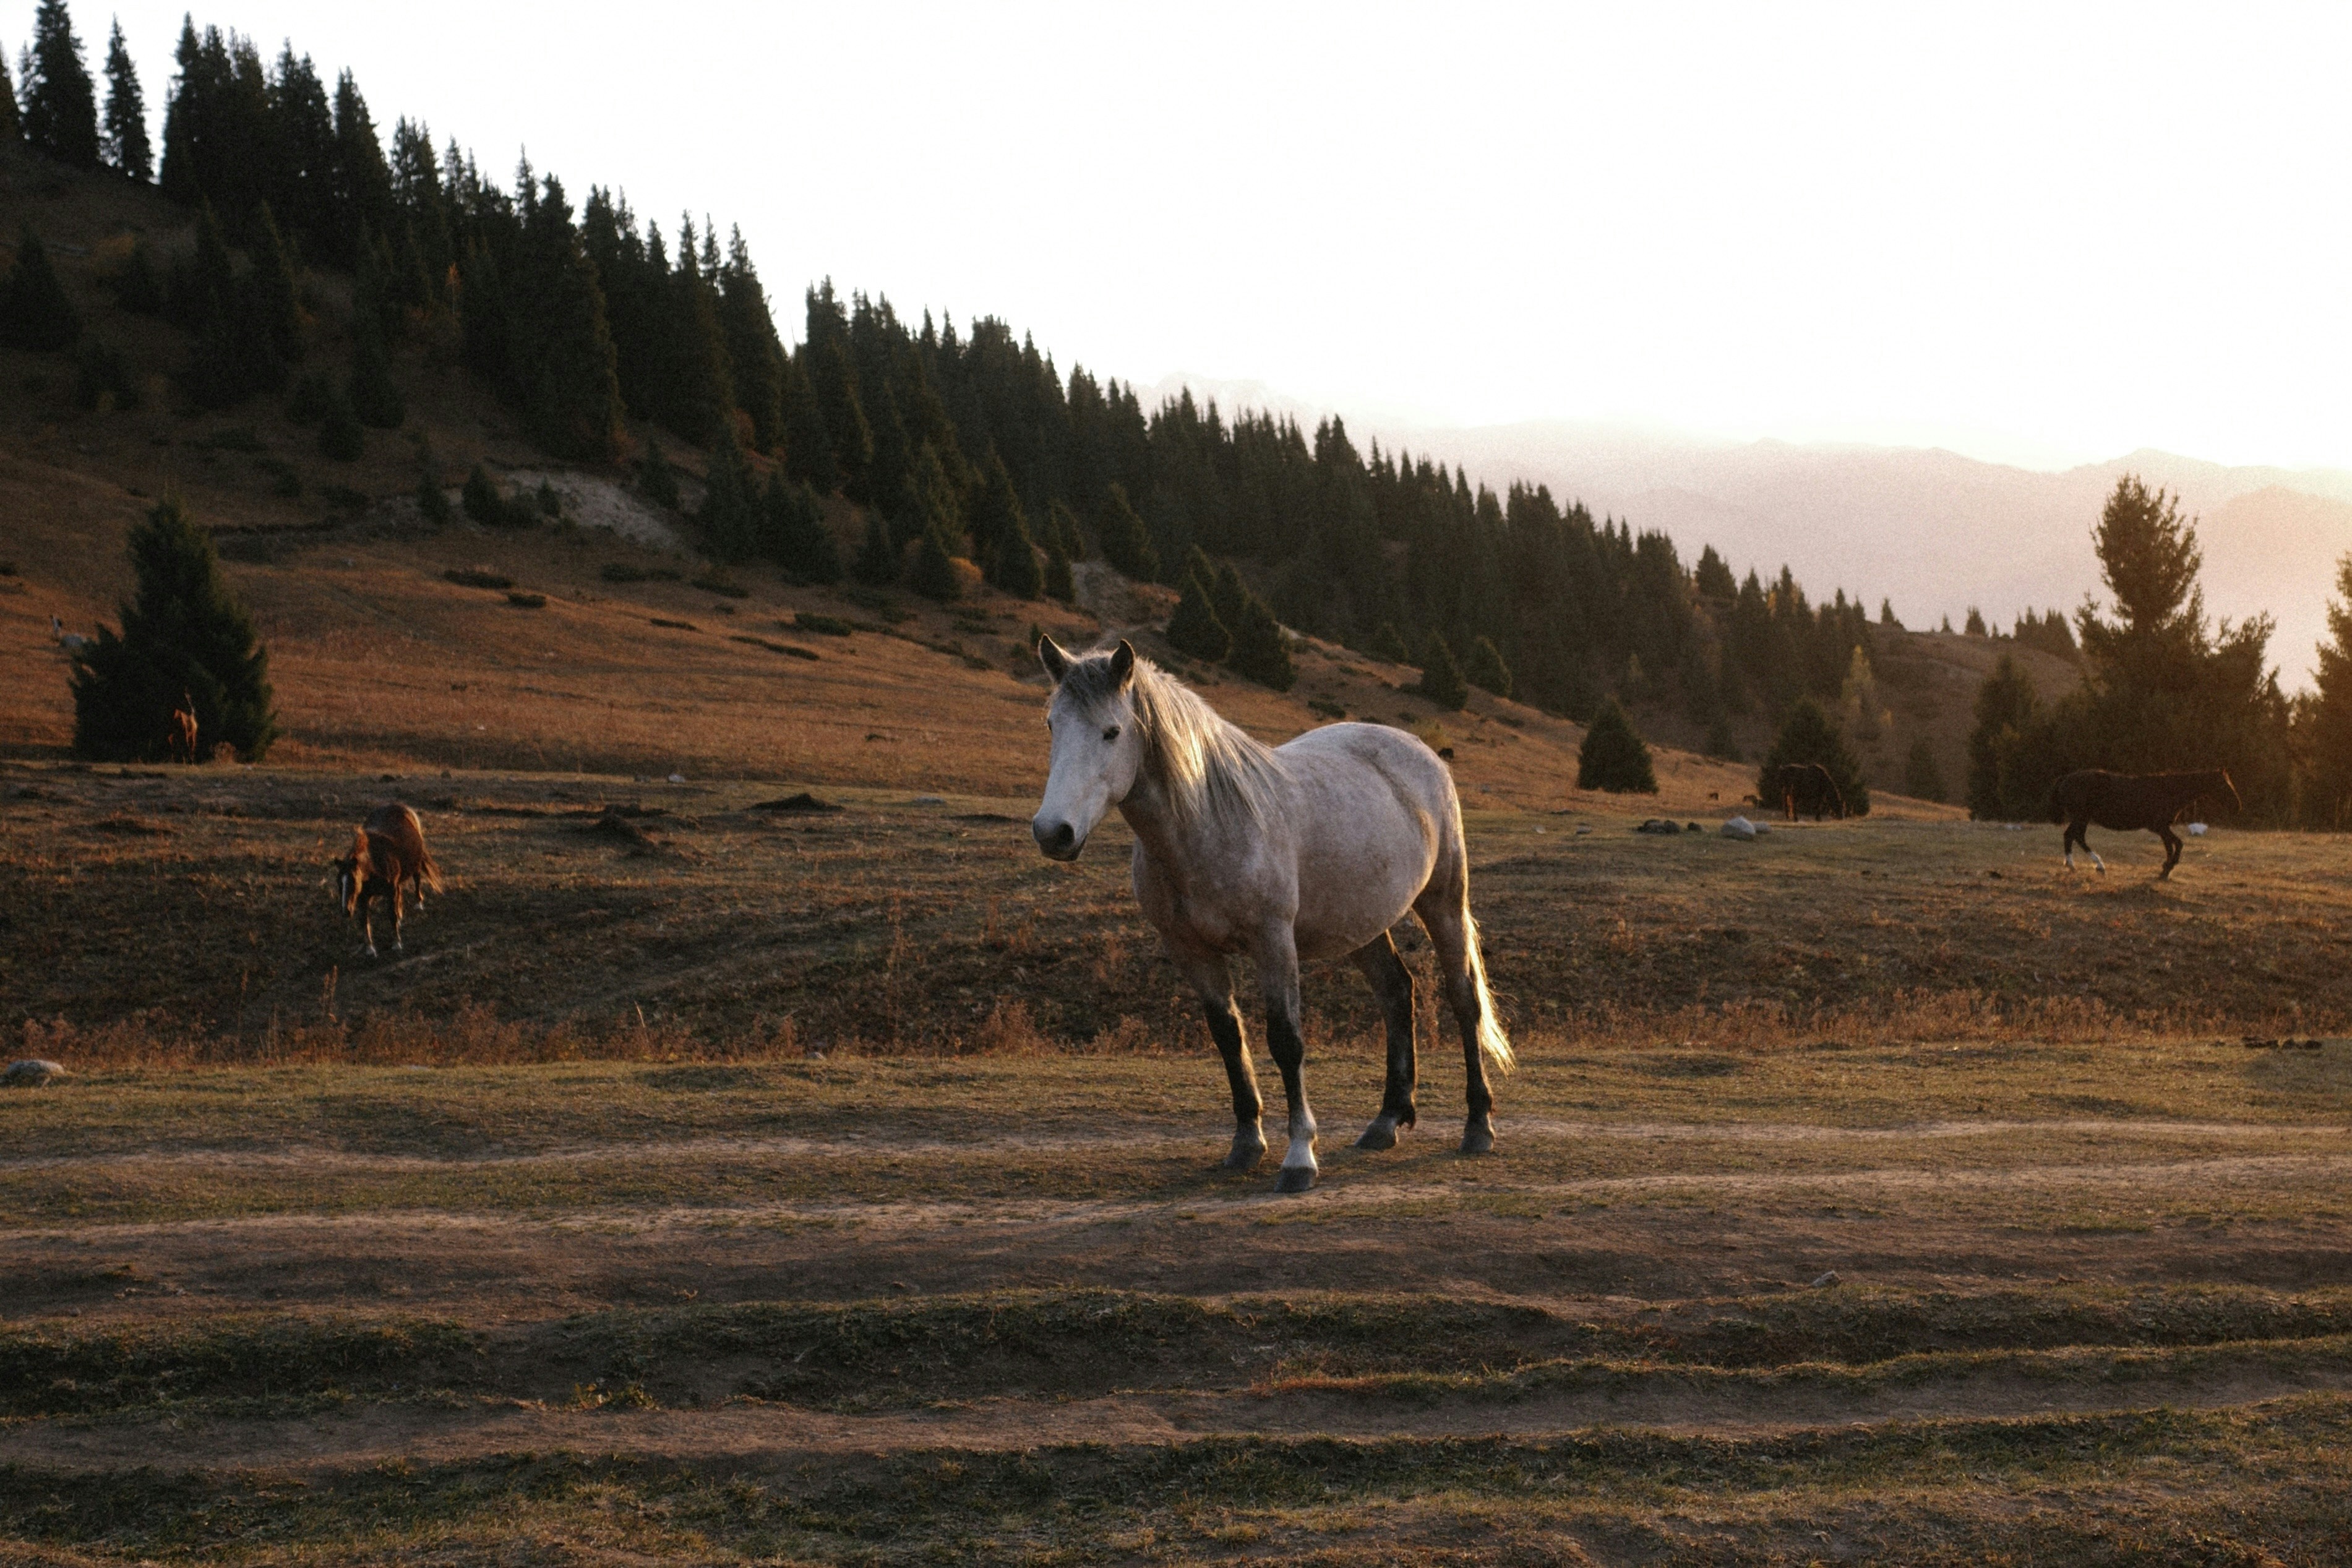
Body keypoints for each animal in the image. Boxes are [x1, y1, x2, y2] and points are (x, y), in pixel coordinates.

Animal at [331, 803, 444, 957]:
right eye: (339, 884)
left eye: (353, 881)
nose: (345, 911)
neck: (374, 863)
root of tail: (402, 807)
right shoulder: (363, 897)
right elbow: (364, 920)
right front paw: (370, 948)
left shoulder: (390, 890)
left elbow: (391, 915)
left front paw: (397, 943)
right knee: (400, 891)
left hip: (415, 864)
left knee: (417, 879)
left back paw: (418, 903)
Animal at [1032, 637, 1514, 1194]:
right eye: (1052, 724)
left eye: (1112, 731)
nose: (1053, 832)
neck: (1209, 821)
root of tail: (1421, 750)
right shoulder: (1189, 950)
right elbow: (1228, 1036)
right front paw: (1246, 1141)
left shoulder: (1273, 942)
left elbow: (1286, 1040)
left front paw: (1299, 1155)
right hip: (1362, 924)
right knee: (1397, 992)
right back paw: (1387, 1119)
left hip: (1443, 901)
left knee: (1464, 1000)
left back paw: (1478, 1125)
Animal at [1763, 761, 1845, 821]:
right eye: (1839, 806)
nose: (1841, 818)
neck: (1823, 781)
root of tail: (1782, 769)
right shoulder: (1818, 796)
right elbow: (1818, 806)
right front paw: (1818, 818)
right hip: (1791, 793)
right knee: (1791, 805)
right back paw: (1795, 818)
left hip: (1787, 793)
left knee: (1787, 804)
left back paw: (1789, 817)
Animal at [2049, 768, 2239, 879]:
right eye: (2224, 785)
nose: (2238, 806)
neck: (2168, 792)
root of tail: (2065, 778)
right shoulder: (2159, 826)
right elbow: (2177, 844)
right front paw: (2168, 868)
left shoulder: (2162, 828)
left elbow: (2171, 846)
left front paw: (2166, 869)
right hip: (2081, 817)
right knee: (2074, 836)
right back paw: (2091, 865)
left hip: (2082, 818)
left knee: (2074, 836)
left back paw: (2081, 865)